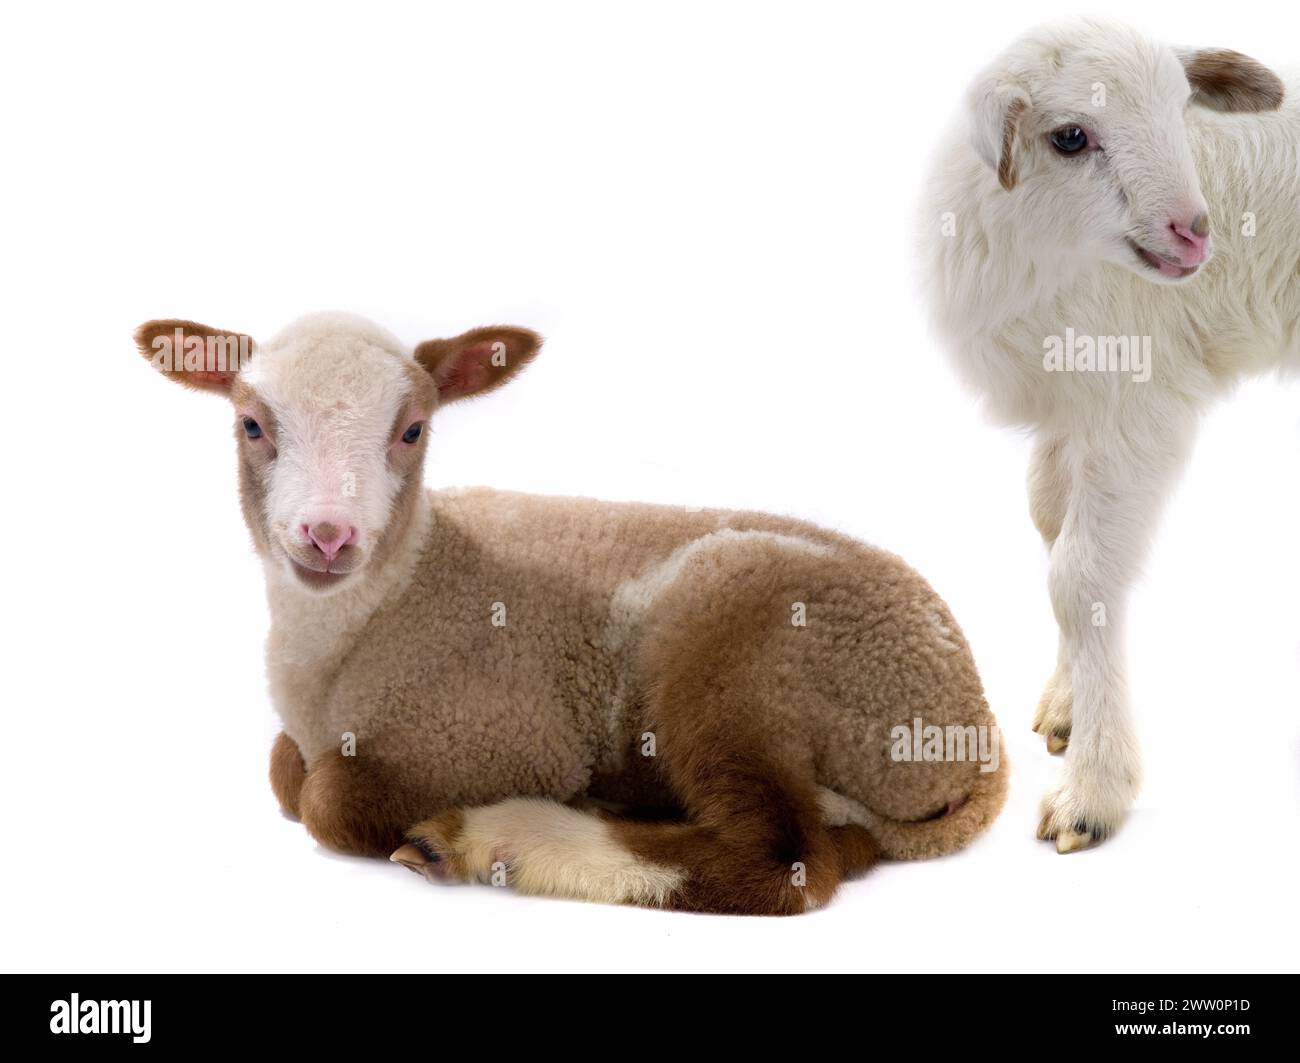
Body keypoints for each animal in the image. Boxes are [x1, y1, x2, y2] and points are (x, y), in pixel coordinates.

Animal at [134, 311, 1006, 914]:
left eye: (412, 430)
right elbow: (286, 772)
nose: (327, 534)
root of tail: (973, 730)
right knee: (839, 840)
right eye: (251, 424)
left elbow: (325, 798)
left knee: (786, 859)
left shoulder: (499, 731)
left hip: (746, 644)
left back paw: (491, 839)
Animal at [918, 17, 1297, 852]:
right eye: (1069, 136)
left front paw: (1093, 789)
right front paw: (1067, 711)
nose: (1194, 234)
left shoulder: (1140, 401)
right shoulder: (1073, 406)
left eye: (1183, 108)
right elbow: (1051, 525)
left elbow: (1079, 574)